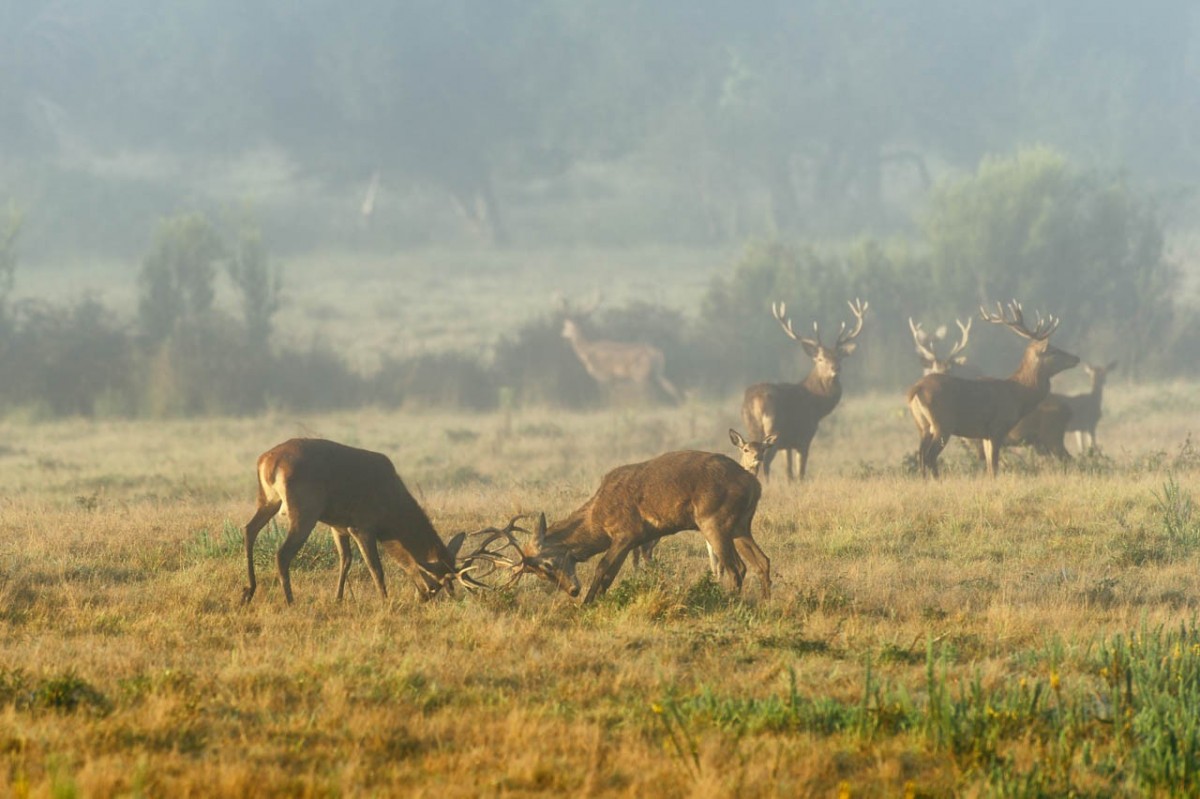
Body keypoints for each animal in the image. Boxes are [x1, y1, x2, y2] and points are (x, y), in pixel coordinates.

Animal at [241, 438, 499, 605]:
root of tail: (266, 462)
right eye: (436, 583)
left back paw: (248, 591)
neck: (391, 516)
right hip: (305, 510)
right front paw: (385, 601)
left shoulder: (338, 525)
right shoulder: (362, 524)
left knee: (249, 529)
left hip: (268, 499)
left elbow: (345, 560)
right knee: (282, 553)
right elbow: (376, 567)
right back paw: (290, 600)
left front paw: (338, 599)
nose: (425, 598)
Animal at [468, 448, 772, 605]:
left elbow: (603, 569)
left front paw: (587, 605)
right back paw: (766, 601)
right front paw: (592, 602)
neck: (598, 521)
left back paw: (732, 602)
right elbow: (611, 574)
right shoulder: (635, 540)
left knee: (737, 567)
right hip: (741, 525)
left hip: (713, 520)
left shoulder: (626, 533)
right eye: (541, 575)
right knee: (762, 562)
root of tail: (754, 484)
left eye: (549, 564)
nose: (572, 590)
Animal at [742, 298, 868, 481]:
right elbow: (800, 472)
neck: (817, 406)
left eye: (839, 357)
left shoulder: (787, 443)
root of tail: (756, 400)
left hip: (751, 427)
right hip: (773, 428)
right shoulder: (804, 437)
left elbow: (788, 472)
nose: (835, 368)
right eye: (820, 358)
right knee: (765, 460)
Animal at [907, 301, 1079, 478]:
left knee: (921, 455)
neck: (1018, 396)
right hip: (943, 423)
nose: (1077, 358)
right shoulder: (998, 427)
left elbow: (990, 467)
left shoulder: (985, 434)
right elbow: (994, 467)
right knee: (929, 456)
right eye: (1053, 350)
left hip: (923, 426)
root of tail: (916, 389)